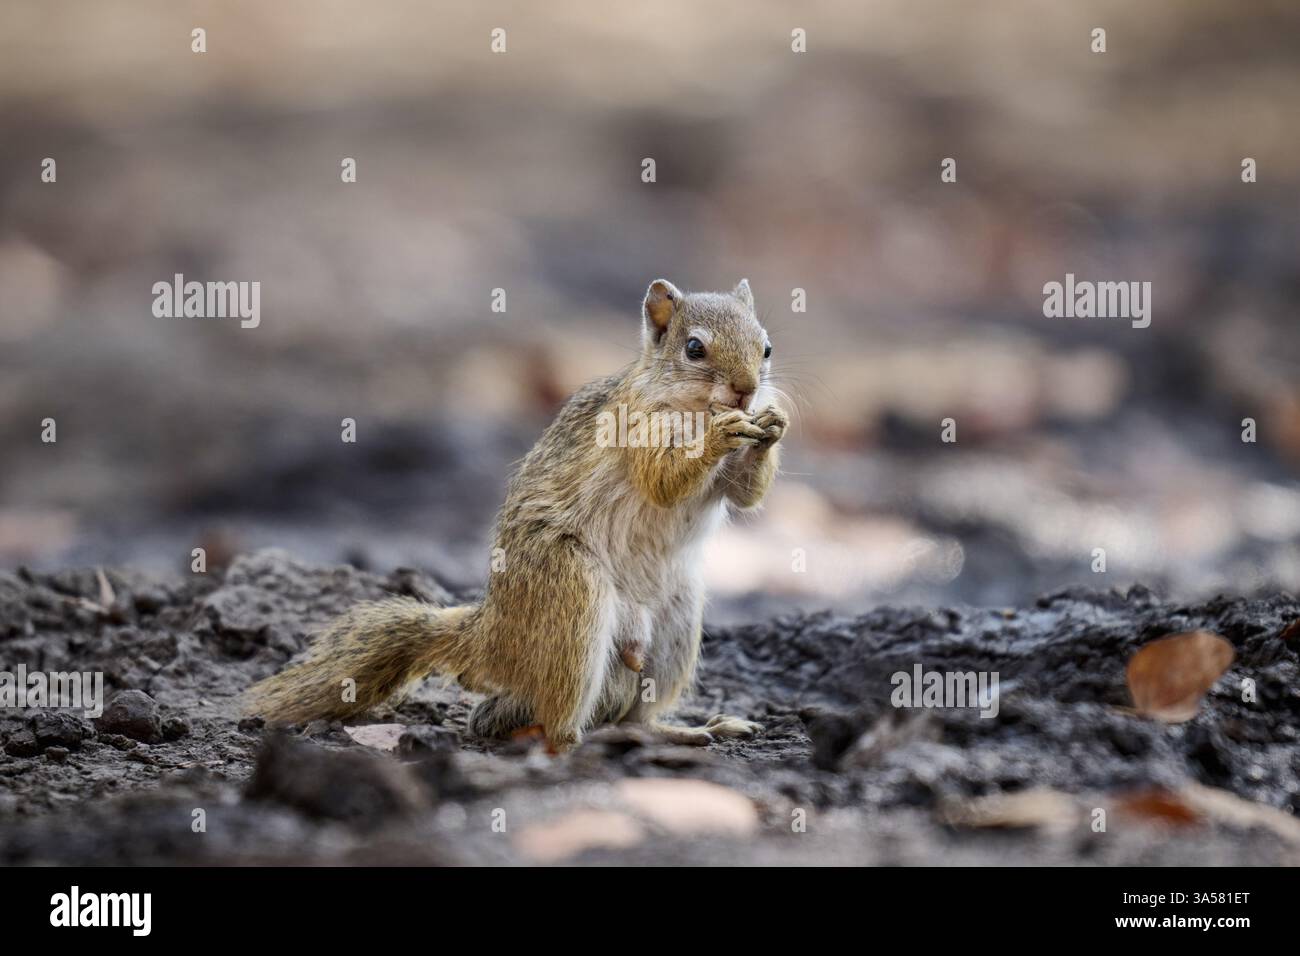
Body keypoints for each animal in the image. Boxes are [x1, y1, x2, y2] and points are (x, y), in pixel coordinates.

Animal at [244, 278, 787, 751]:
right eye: (694, 348)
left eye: (766, 348)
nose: (745, 390)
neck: (690, 406)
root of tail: (492, 640)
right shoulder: (634, 428)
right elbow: (664, 480)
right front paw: (720, 434)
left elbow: (744, 494)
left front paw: (773, 425)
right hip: (572, 596)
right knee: (557, 722)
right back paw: (579, 743)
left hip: (676, 621)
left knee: (632, 713)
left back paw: (677, 730)